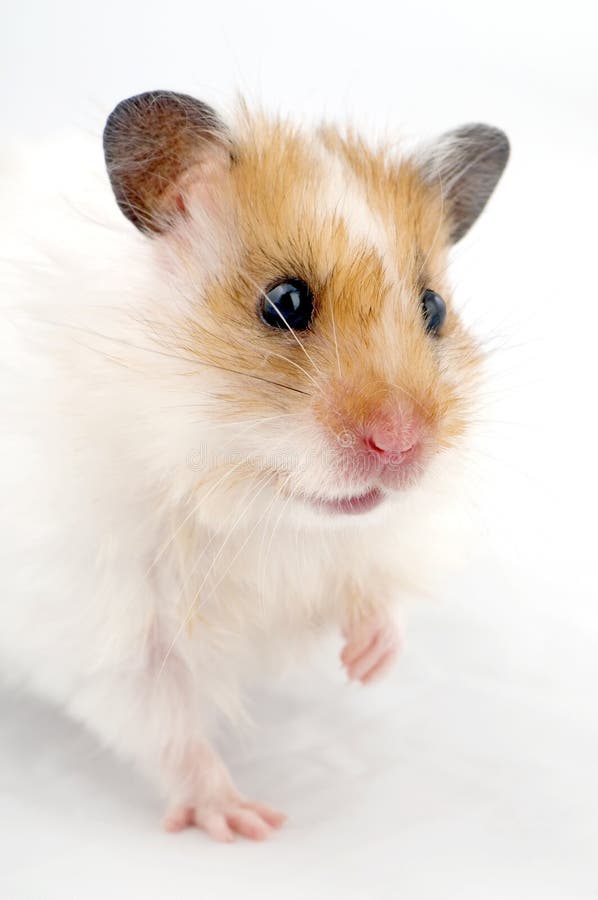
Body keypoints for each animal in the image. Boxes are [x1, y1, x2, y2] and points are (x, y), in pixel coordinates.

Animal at [0, 91, 509, 842]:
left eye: (433, 307)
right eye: (284, 302)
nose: (400, 446)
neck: (257, 507)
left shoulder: (372, 540)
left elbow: (377, 590)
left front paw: (366, 664)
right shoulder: (108, 624)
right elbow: (165, 728)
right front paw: (246, 822)